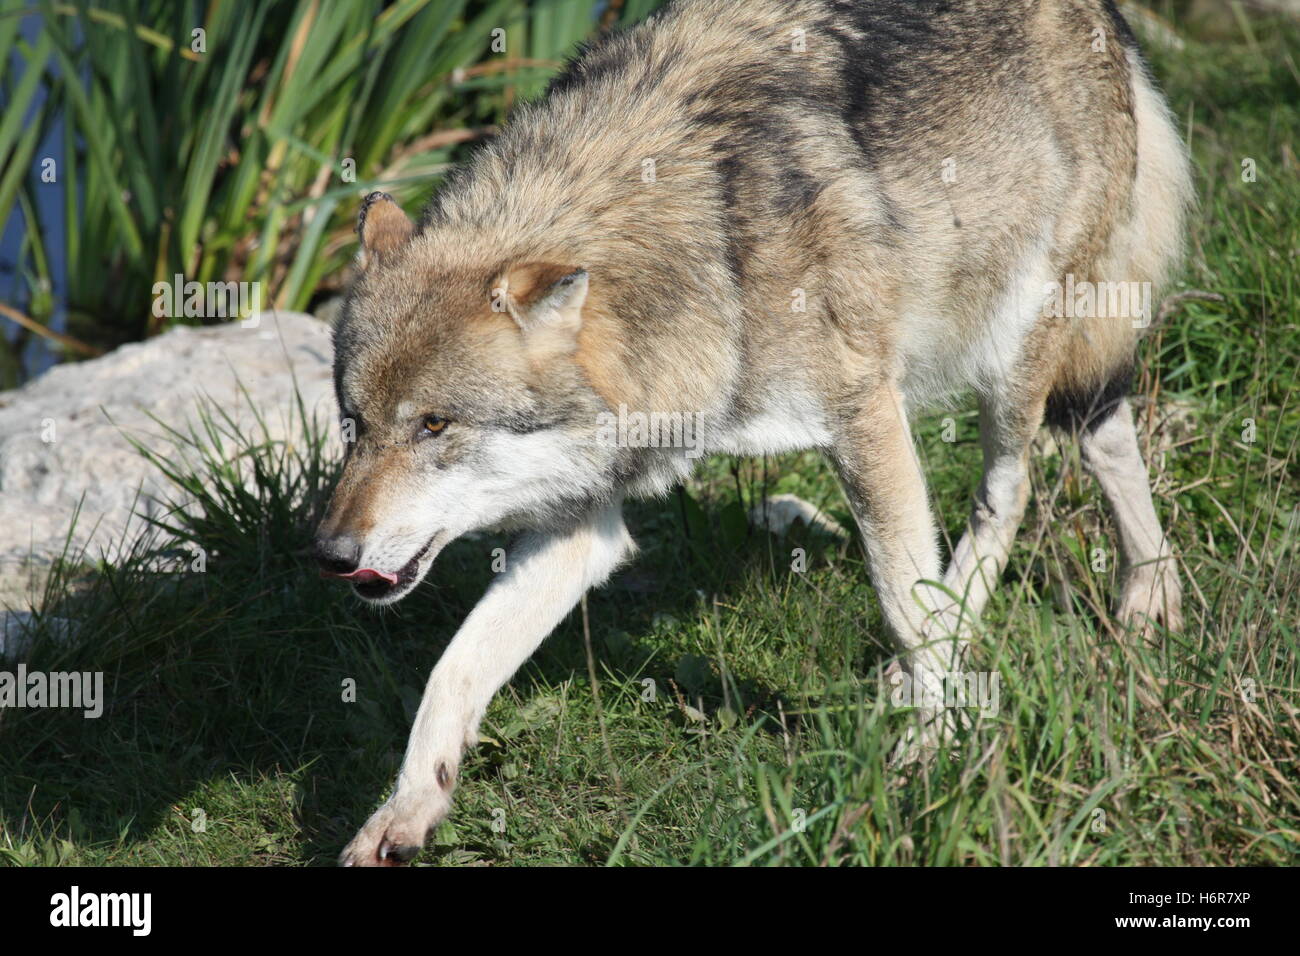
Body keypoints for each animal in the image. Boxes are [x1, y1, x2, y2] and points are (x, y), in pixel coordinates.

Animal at [315, 0, 1192, 865]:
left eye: (435, 424)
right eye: (353, 424)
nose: (329, 554)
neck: (706, 250)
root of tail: (1107, 16)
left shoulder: (866, 415)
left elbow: (903, 603)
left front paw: (932, 752)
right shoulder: (584, 523)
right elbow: (453, 670)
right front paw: (405, 811)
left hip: (1013, 358)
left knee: (1007, 495)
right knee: (1103, 431)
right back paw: (1151, 594)